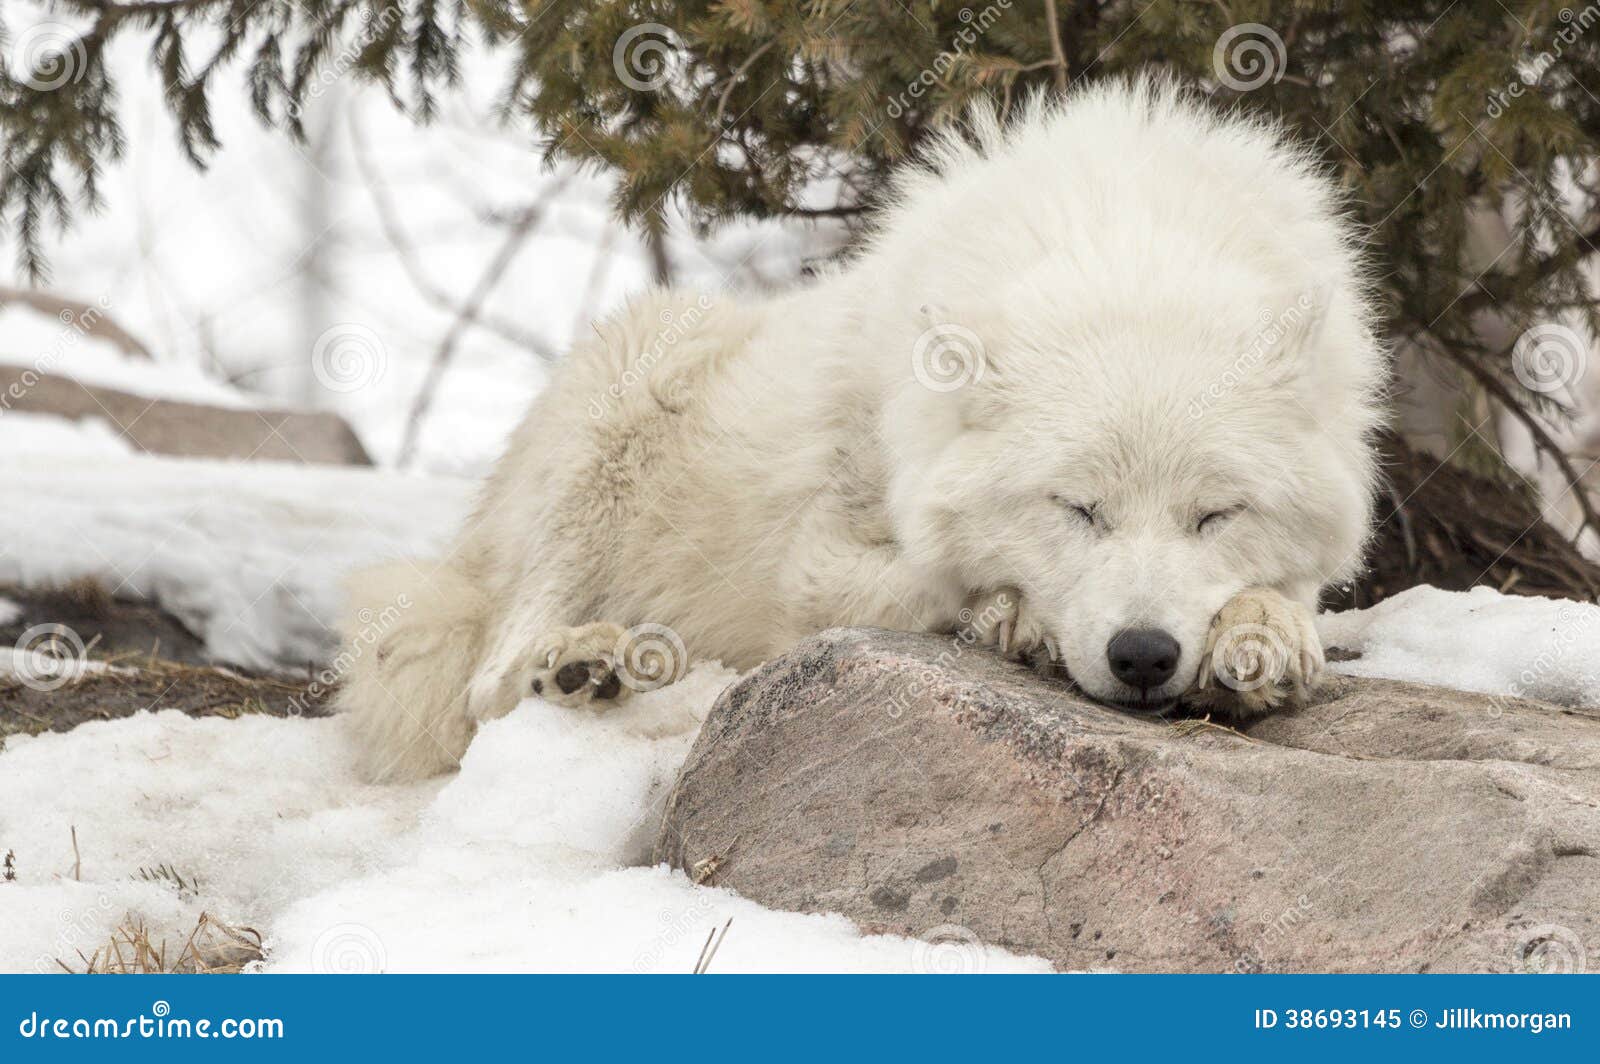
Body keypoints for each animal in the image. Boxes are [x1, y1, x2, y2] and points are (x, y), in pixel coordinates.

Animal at [340, 79, 1386, 782]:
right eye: (1076, 509)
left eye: (1215, 515)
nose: (1144, 656)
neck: (1124, 243)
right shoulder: (819, 563)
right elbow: (942, 578)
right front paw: (1012, 617)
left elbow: (1287, 592)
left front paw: (1265, 634)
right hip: (629, 384)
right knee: (487, 682)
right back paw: (582, 664)